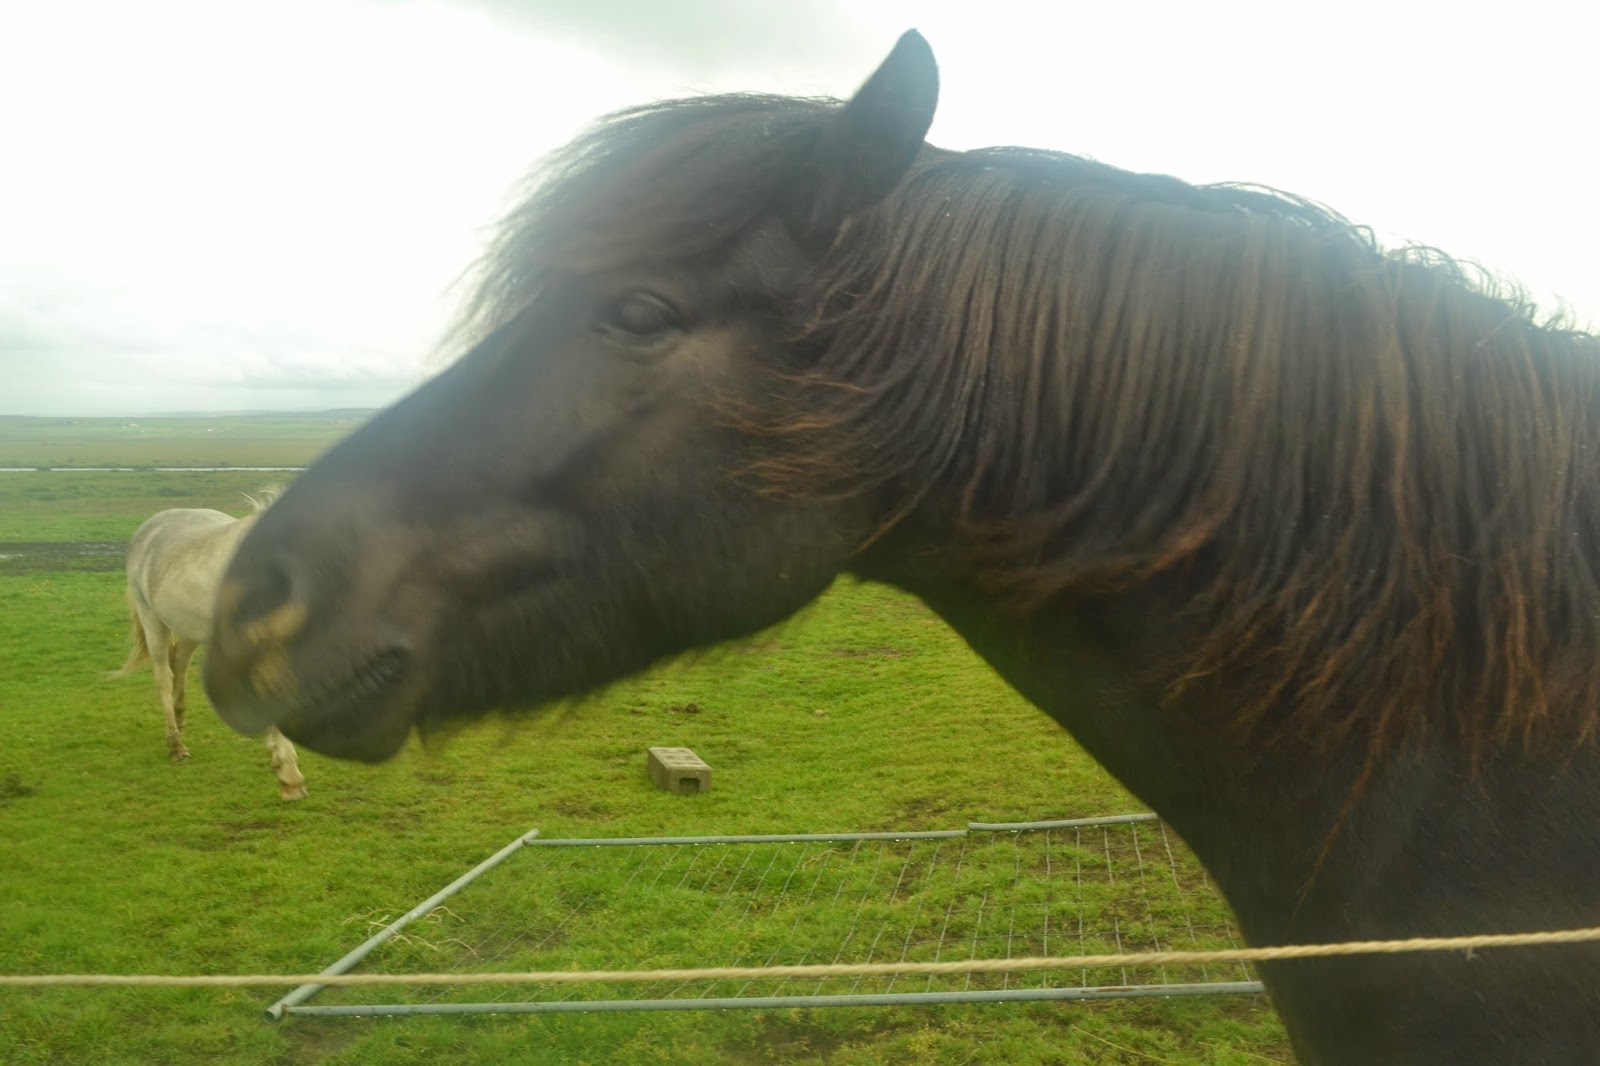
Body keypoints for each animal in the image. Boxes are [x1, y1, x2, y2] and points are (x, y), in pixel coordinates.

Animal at [111, 491, 306, 801]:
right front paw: (287, 773)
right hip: (152, 620)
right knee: (163, 677)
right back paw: (175, 745)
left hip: (191, 628)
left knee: (179, 663)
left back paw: (180, 724)